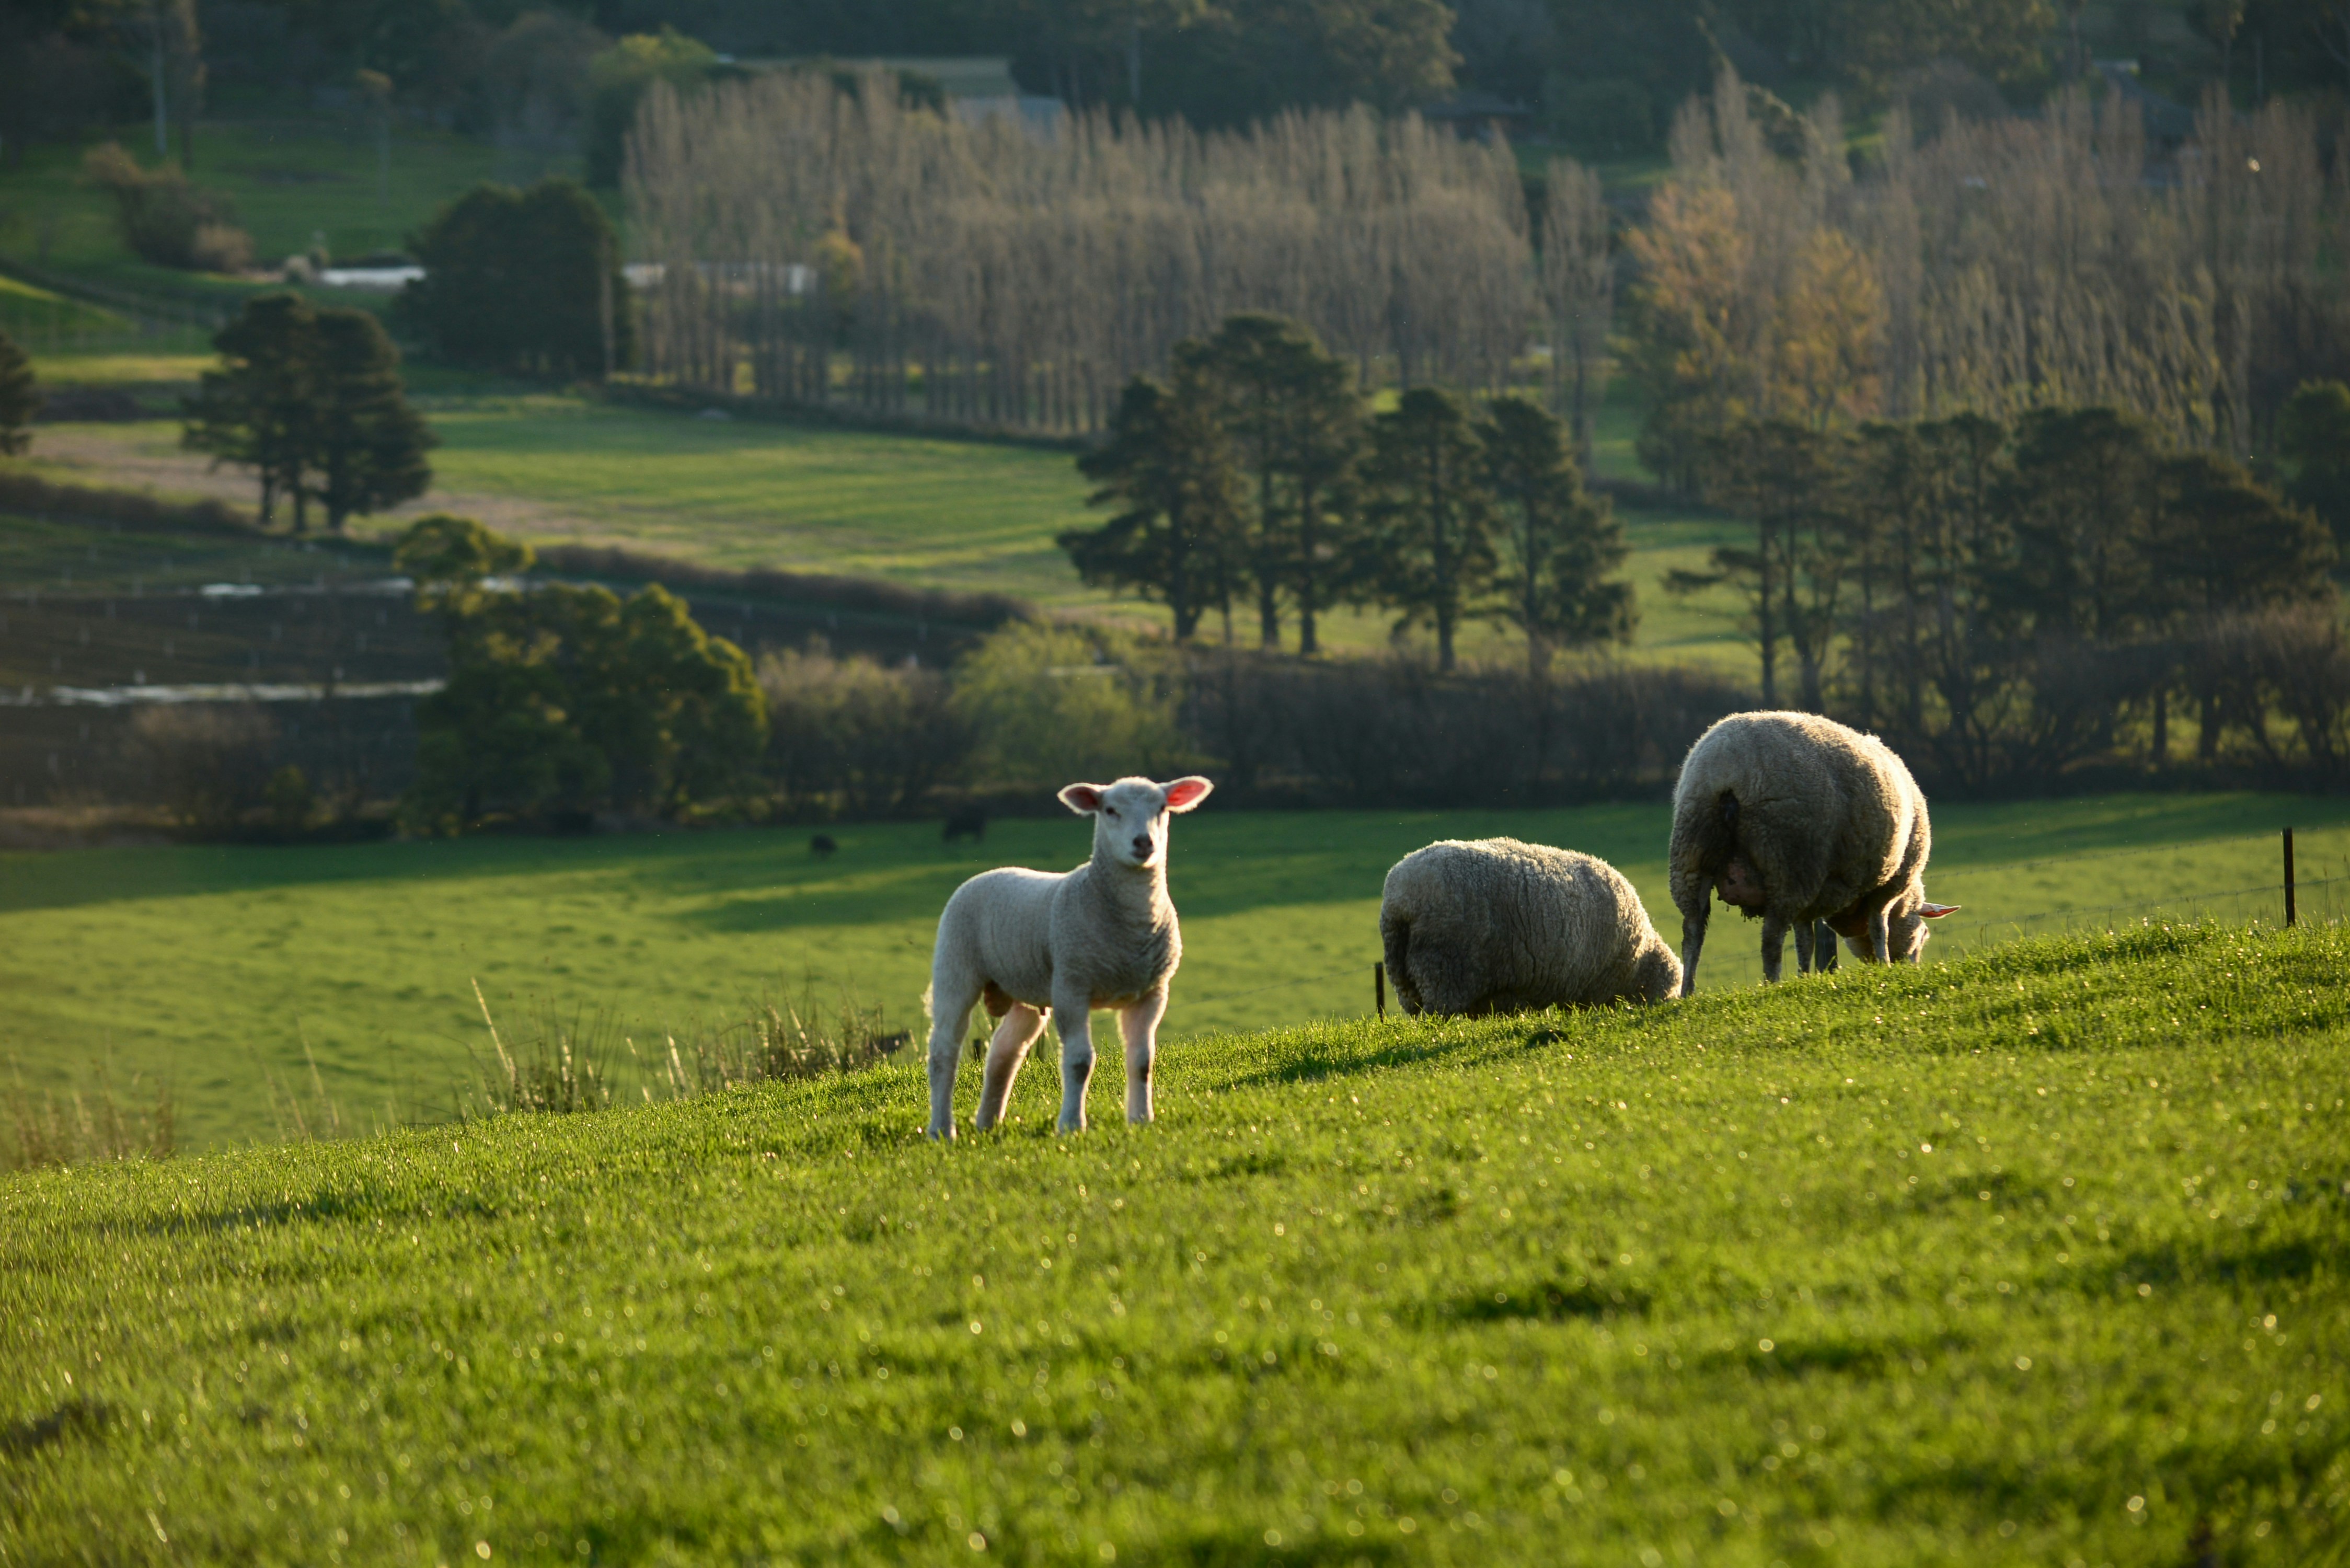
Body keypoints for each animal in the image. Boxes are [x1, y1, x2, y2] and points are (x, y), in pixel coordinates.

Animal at [924, 775, 1213, 1138]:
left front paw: (1142, 1119)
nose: (1143, 843)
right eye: (1110, 810)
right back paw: (941, 1128)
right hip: (956, 967)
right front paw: (1072, 1125)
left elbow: (1143, 1061)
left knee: (1003, 1051)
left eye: (1162, 808)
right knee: (943, 1050)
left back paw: (988, 1122)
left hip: (1026, 989)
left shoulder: (1152, 992)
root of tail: (989, 873)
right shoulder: (1071, 987)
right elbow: (1079, 1062)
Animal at [1379, 838, 1680, 1017]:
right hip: (1445, 966)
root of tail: (1400, 896)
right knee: (1438, 1013)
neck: (1641, 957)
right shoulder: (1593, 984)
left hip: (1403, 973)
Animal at [1668, 710, 1958, 995]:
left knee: (1692, 932)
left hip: (1692, 852)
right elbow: (1880, 927)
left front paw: (1804, 977)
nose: (1908, 967)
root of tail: (1729, 767)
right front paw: (1885, 964)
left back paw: (1687, 993)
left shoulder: (1810, 903)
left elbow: (1805, 940)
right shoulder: (1888, 883)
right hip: (1788, 860)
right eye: (1925, 935)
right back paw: (1771, 986)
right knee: (1771, 939)